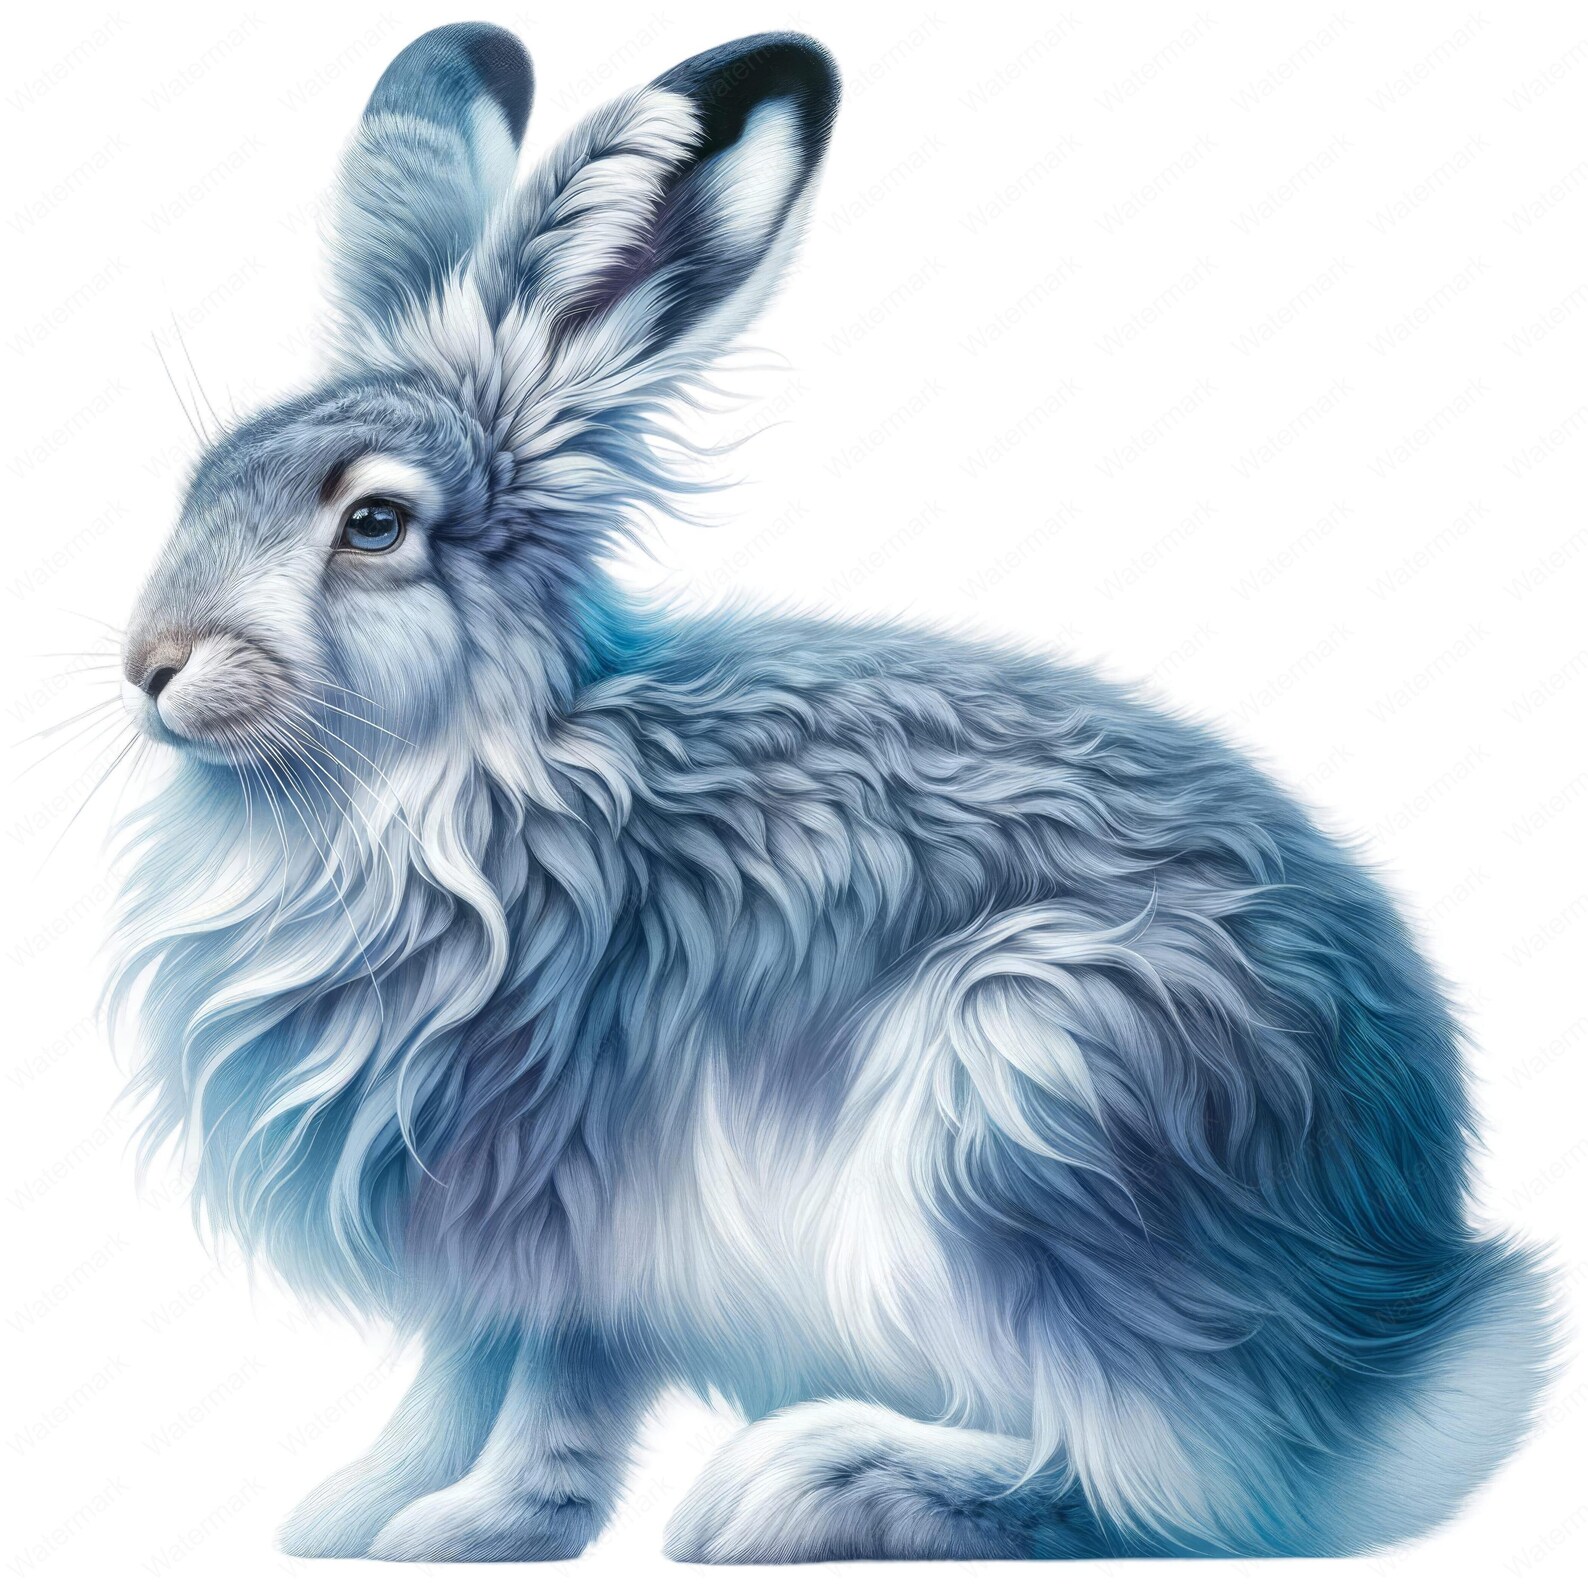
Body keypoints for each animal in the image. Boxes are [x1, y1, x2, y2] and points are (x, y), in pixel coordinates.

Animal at [109, 23, 1554, 1565]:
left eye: (373, 523)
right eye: (204, 480)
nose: (151, 668)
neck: (453, 782)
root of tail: (1393, 1347)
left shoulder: (575, 1212)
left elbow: (554, 1390)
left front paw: (472, 1531)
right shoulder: (475, 1262)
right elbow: (455, 1380)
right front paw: (353, 1512)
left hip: (1021, 1110)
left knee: (1157, 1485)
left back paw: (791, 1491)